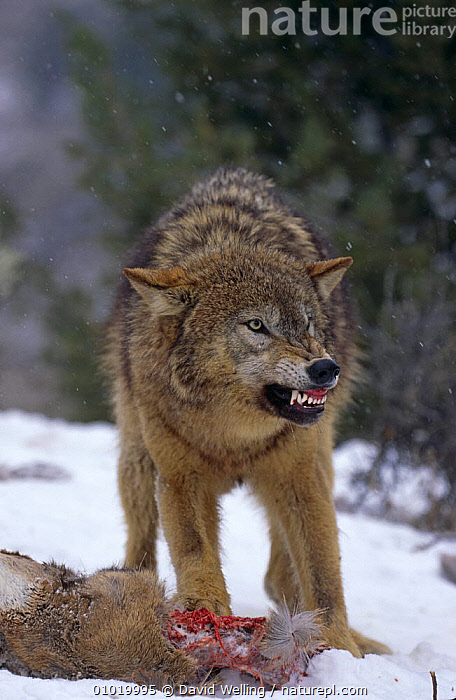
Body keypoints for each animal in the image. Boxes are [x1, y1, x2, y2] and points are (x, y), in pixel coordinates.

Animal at [106, 168, 390, 657]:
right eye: (256, 325)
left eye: (308, 323)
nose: (325, 367)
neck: (234, 435)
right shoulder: (180, 476)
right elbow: (195, 553)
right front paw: (204, 611)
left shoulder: (300, 479)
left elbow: (324, 576)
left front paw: (340, 648)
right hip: (138, 460)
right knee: (143, 546)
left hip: (316, 464)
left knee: (279, 576)